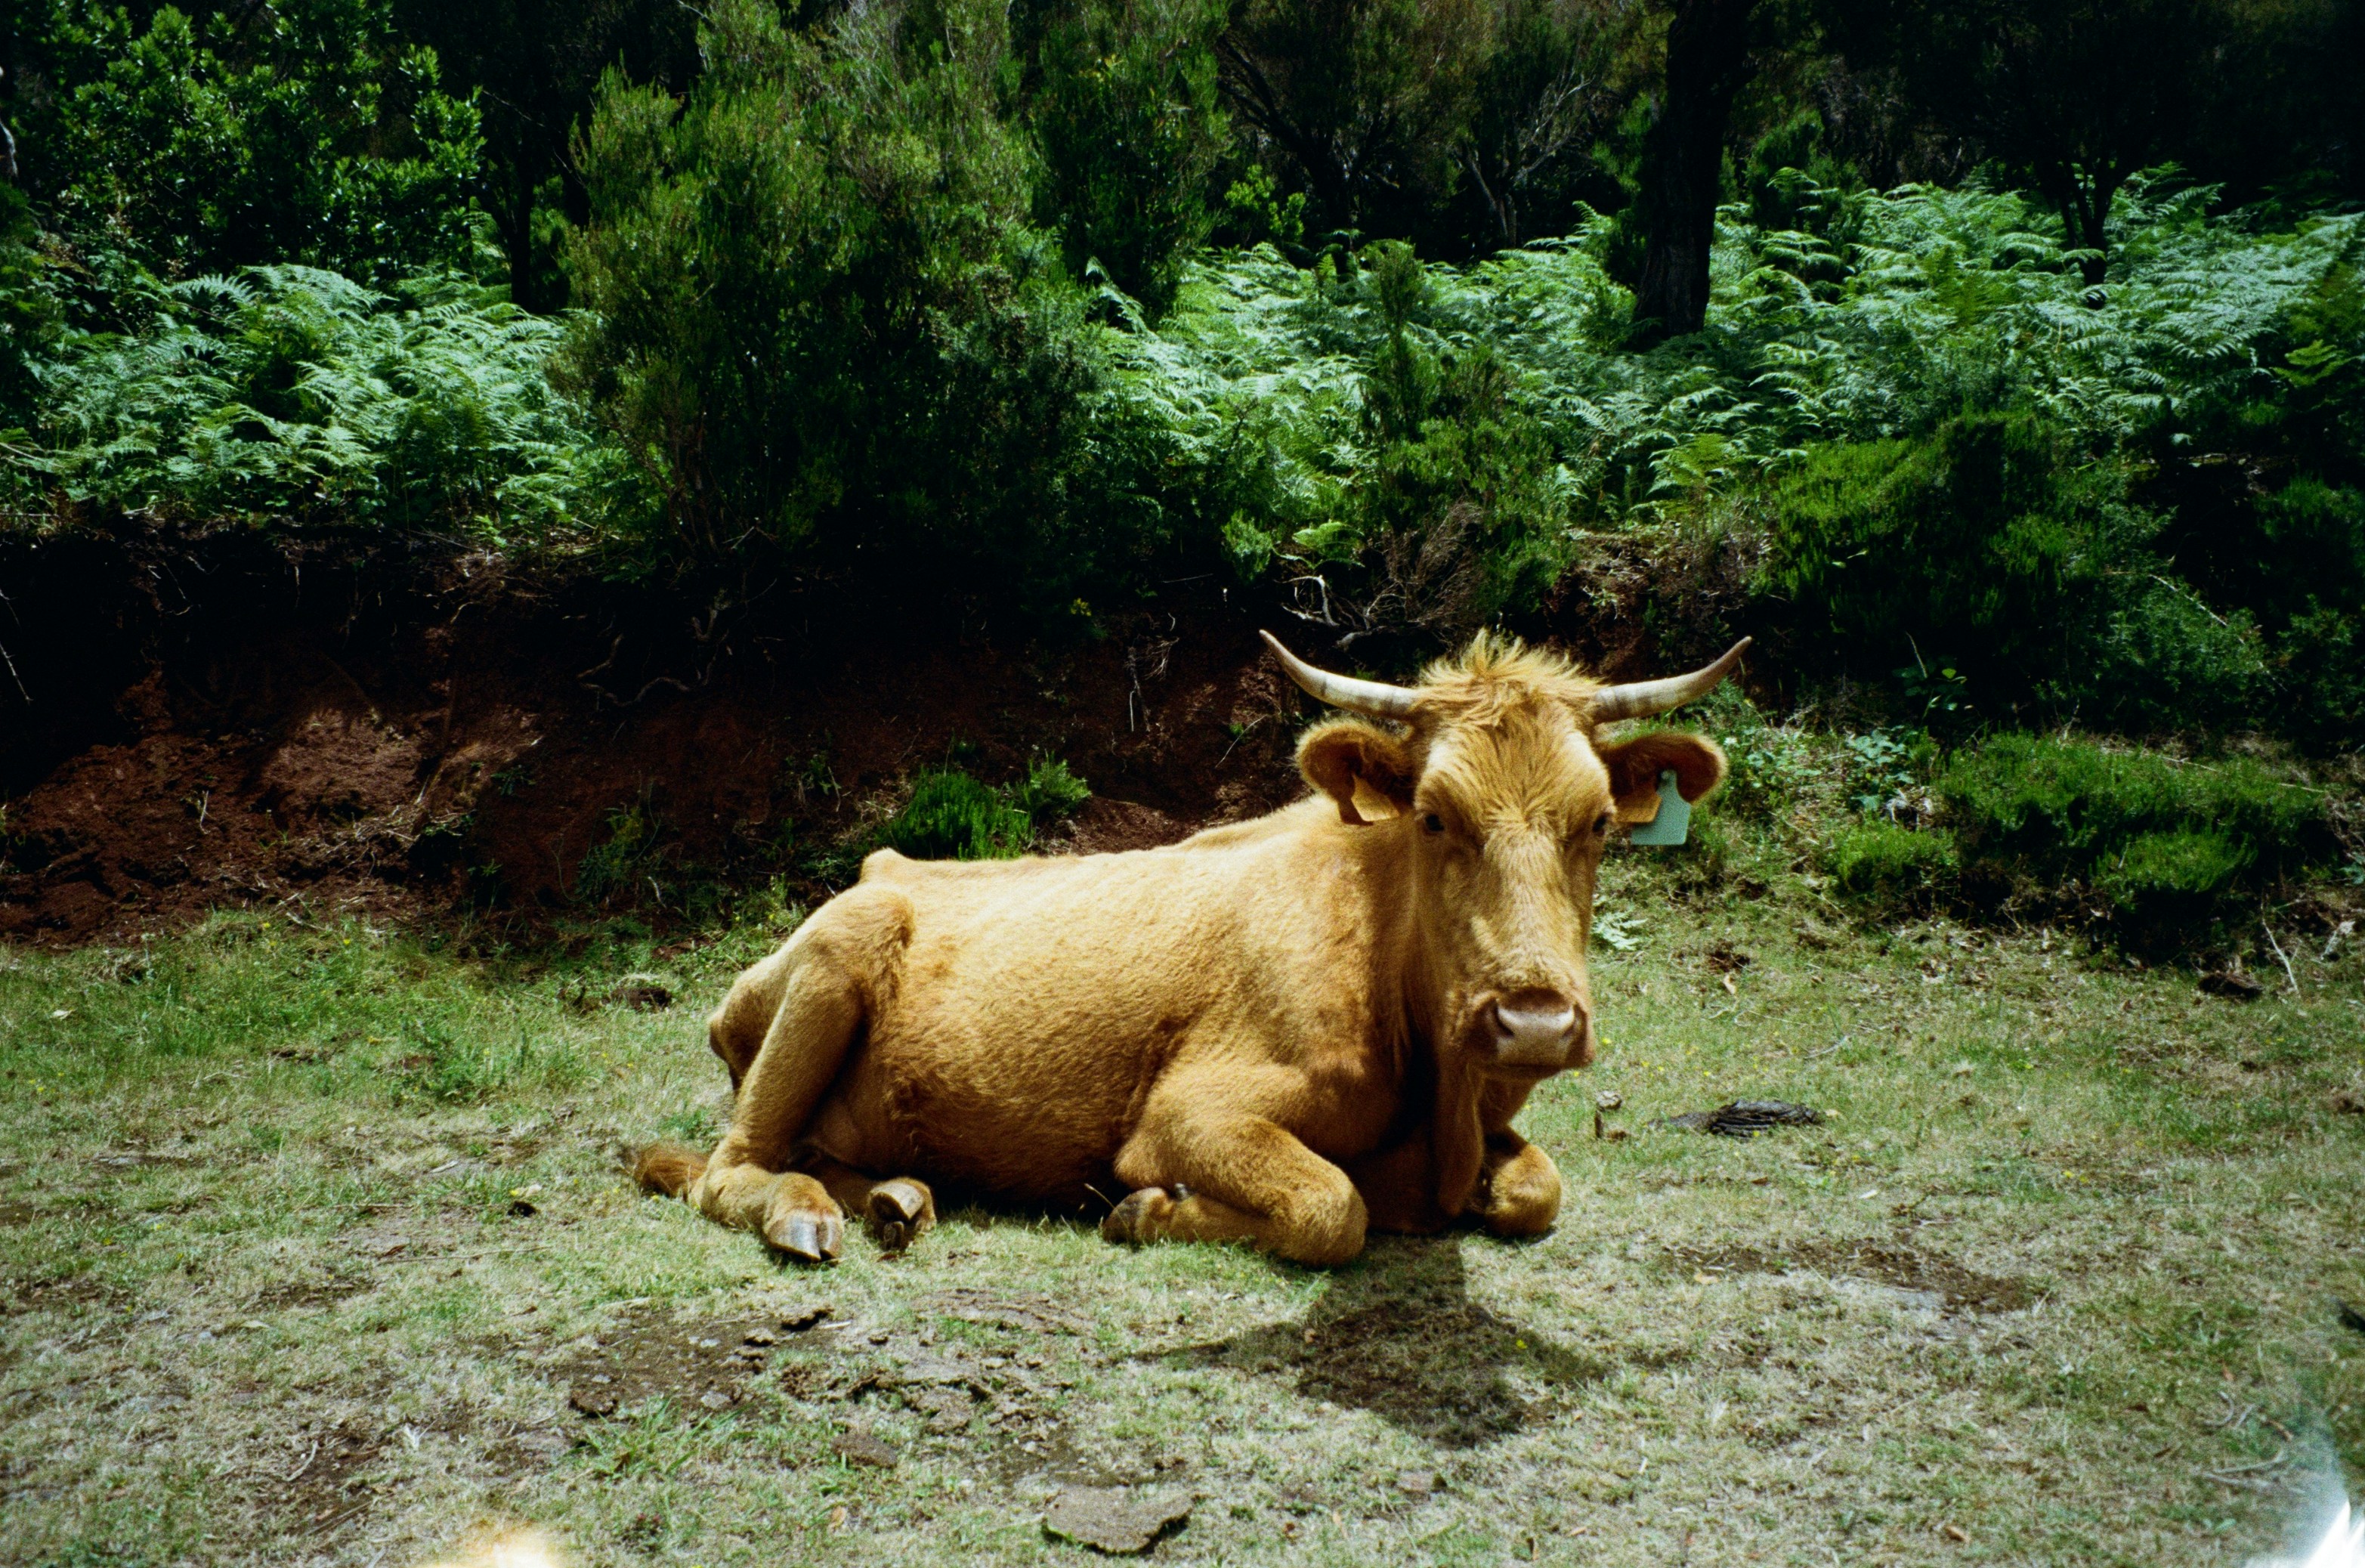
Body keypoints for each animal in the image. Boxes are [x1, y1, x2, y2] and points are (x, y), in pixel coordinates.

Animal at [634, 630, 1744, 1265]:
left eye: (1597, 821)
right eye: (1433, 815)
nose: (1533, 1021)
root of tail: (884, 859)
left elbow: (1534, 1190)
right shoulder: (1185, 1112)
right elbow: (1331, 1207)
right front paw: (1147, 1211)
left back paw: (895, 1198)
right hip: (839, 951)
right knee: (727, 1167)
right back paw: (808, 1215)